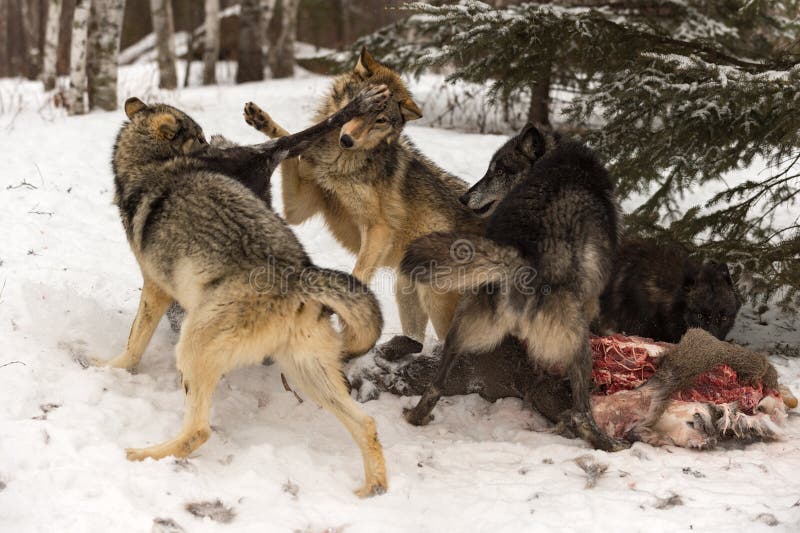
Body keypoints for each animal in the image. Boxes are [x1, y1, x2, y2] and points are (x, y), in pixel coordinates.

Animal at [93, 88, 391, 497]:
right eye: (199, 137)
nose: (215, 143)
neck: (150, 167)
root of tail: (299, 275)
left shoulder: (154, 289)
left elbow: (133, 343)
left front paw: (108, 368)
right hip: (307, 375)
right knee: (367, 424)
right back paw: (371, 489)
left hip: (193, 346)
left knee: (198, 431)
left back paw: (144, 456)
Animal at [242, 47, 483, 359]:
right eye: (360, 110)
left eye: (380, 120)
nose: (346, 139)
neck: (339, 162)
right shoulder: (299, 207)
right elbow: (292, 142)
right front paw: (262, 120)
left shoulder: (379, 229)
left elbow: (358, 274)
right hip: (407, 280)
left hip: (436, 292)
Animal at [399, 124, 628, 451]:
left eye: (498, 170)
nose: (464, 198)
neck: (557, 158)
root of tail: (520, 260)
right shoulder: (592, 298)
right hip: (578, 346)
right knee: (581, 411)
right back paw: (607, 443)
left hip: (463, 330)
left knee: (437, 383)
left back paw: (417, 416)